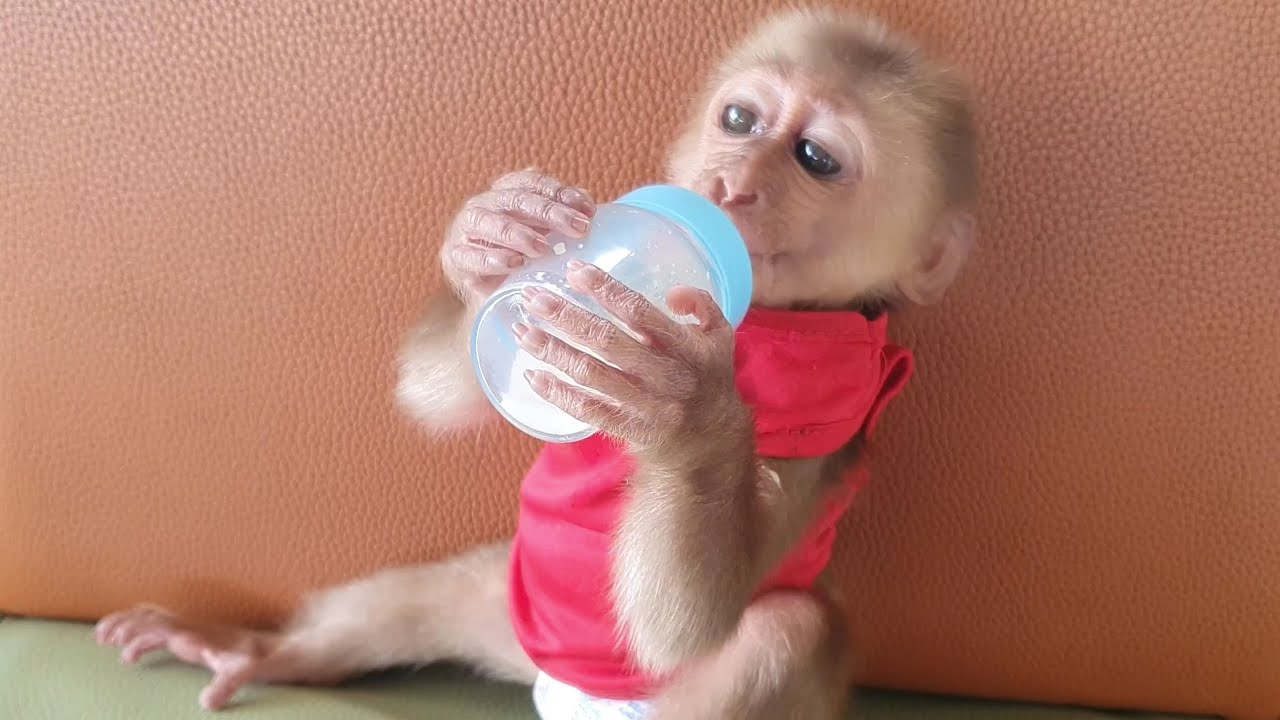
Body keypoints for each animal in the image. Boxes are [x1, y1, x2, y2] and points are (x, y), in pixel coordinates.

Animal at [94, 7, 977, 719]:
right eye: (740, 118)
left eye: (814, 158)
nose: (730, 185)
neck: (763, 314)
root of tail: (559, 694)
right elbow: (443, 390)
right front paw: (489, 241)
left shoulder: (826, 394)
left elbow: (691, 623)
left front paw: (685, 409)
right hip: (509, 604)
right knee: (414, 598)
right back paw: (261, 650)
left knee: (780, 635)